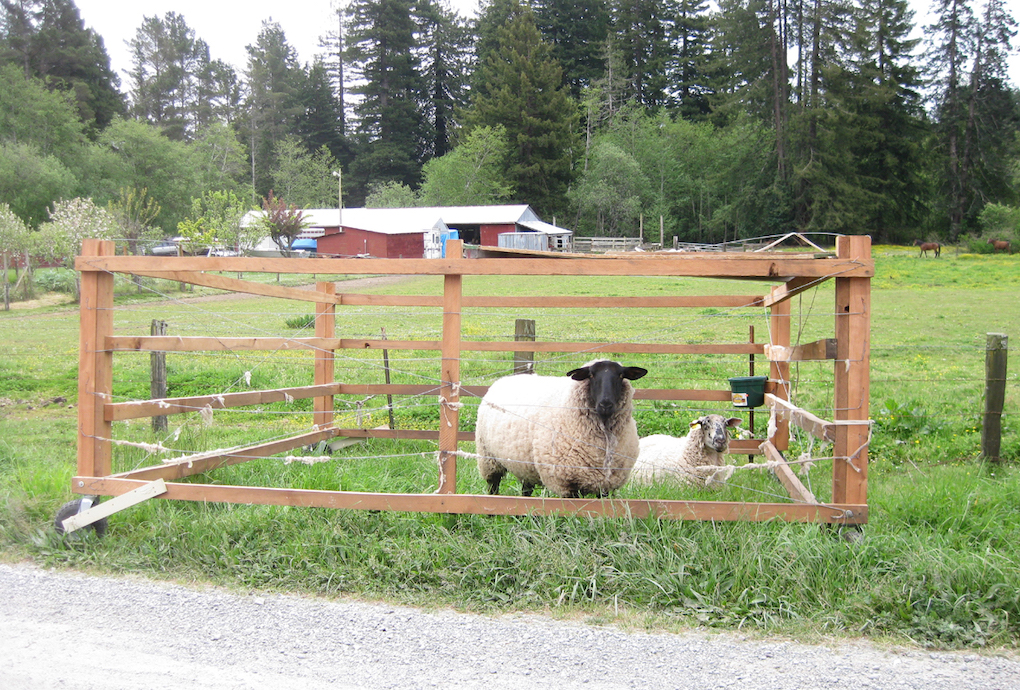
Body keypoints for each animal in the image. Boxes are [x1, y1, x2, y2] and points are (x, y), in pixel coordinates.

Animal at [474, 359, 648, 498]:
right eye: (591, 375)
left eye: (621, 376)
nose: (606, 404)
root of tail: (506, 378)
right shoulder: (567, 482)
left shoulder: (606, 485)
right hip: (488, 457)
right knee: (493, 486)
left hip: (525, 464)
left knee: (526, 490)